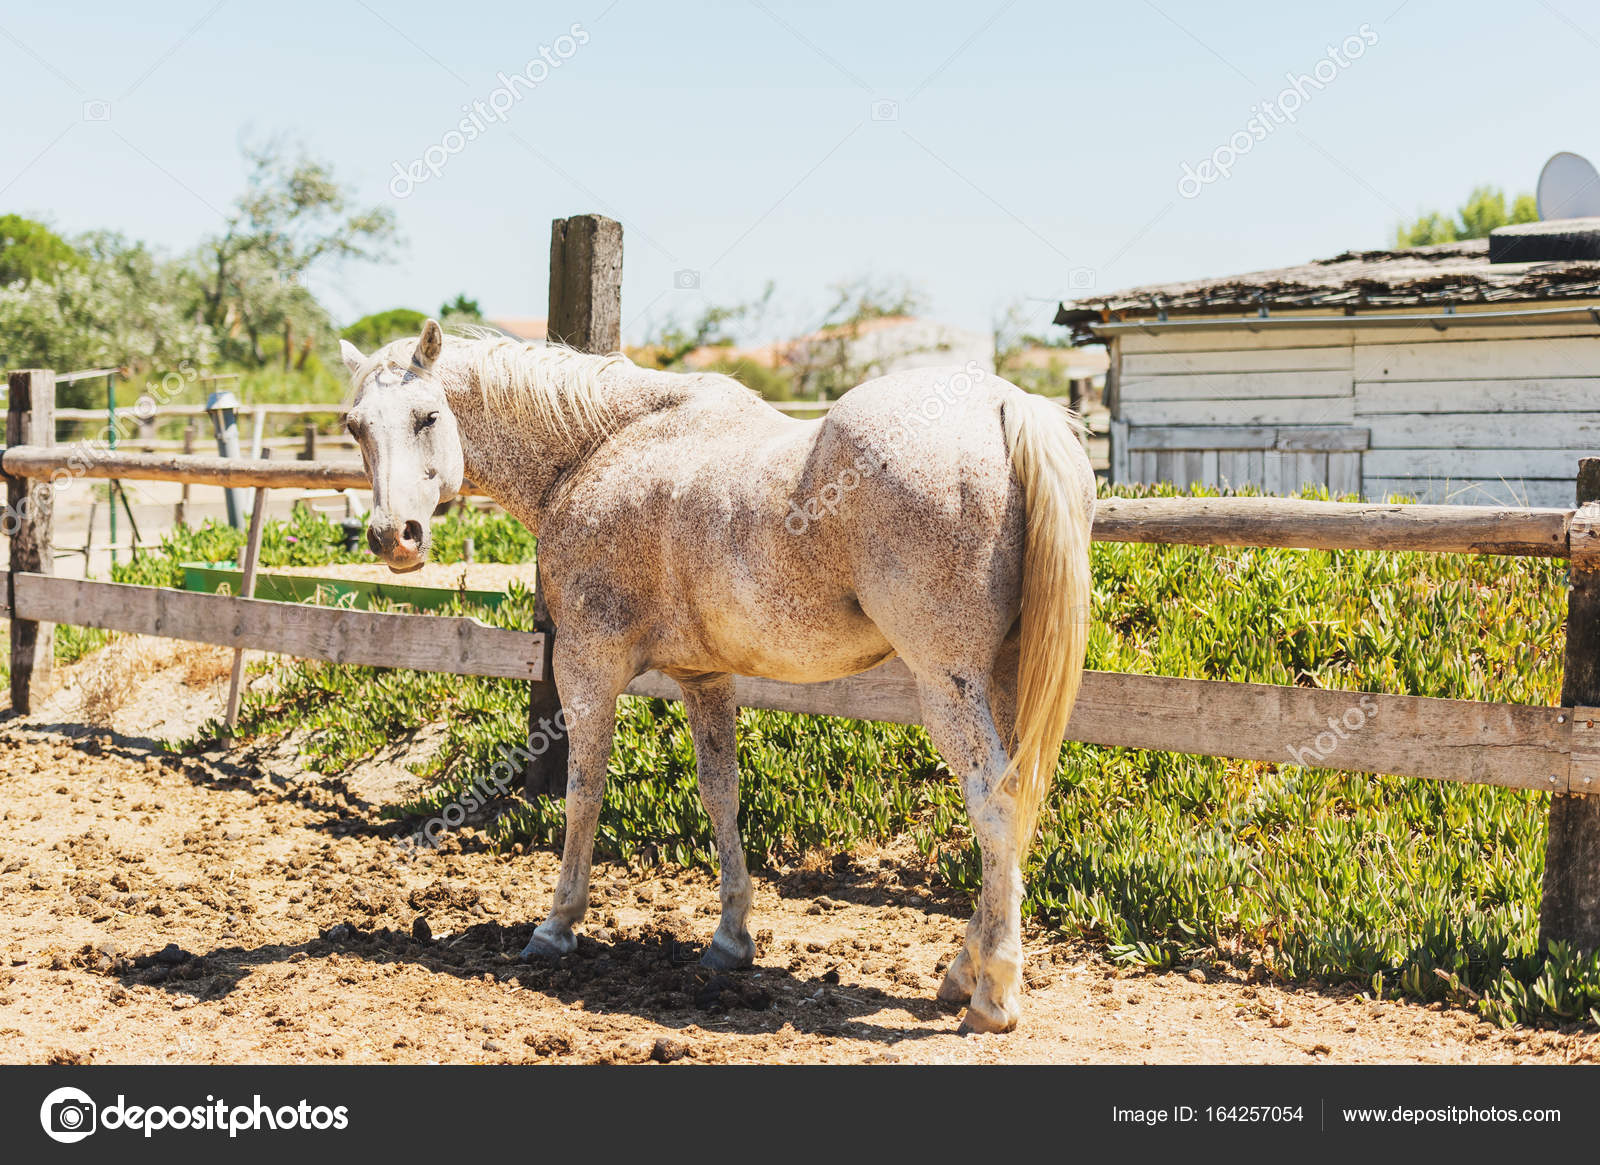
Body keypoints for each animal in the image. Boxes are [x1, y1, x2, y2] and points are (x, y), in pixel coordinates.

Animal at [339, 319, 1095, 1033]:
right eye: (355, 426)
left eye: (427, 416)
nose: (393, 537)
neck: (597, 449)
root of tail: (1004, 405)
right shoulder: (704, 678)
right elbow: (720, 793)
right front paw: (731, 940)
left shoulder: (586, 666)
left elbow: (583, 794)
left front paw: (556, 927)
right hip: (1000, 679)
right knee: (1017, 804)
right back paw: (963, 970)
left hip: (948, 685)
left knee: (994, 805)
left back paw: (992, 995)